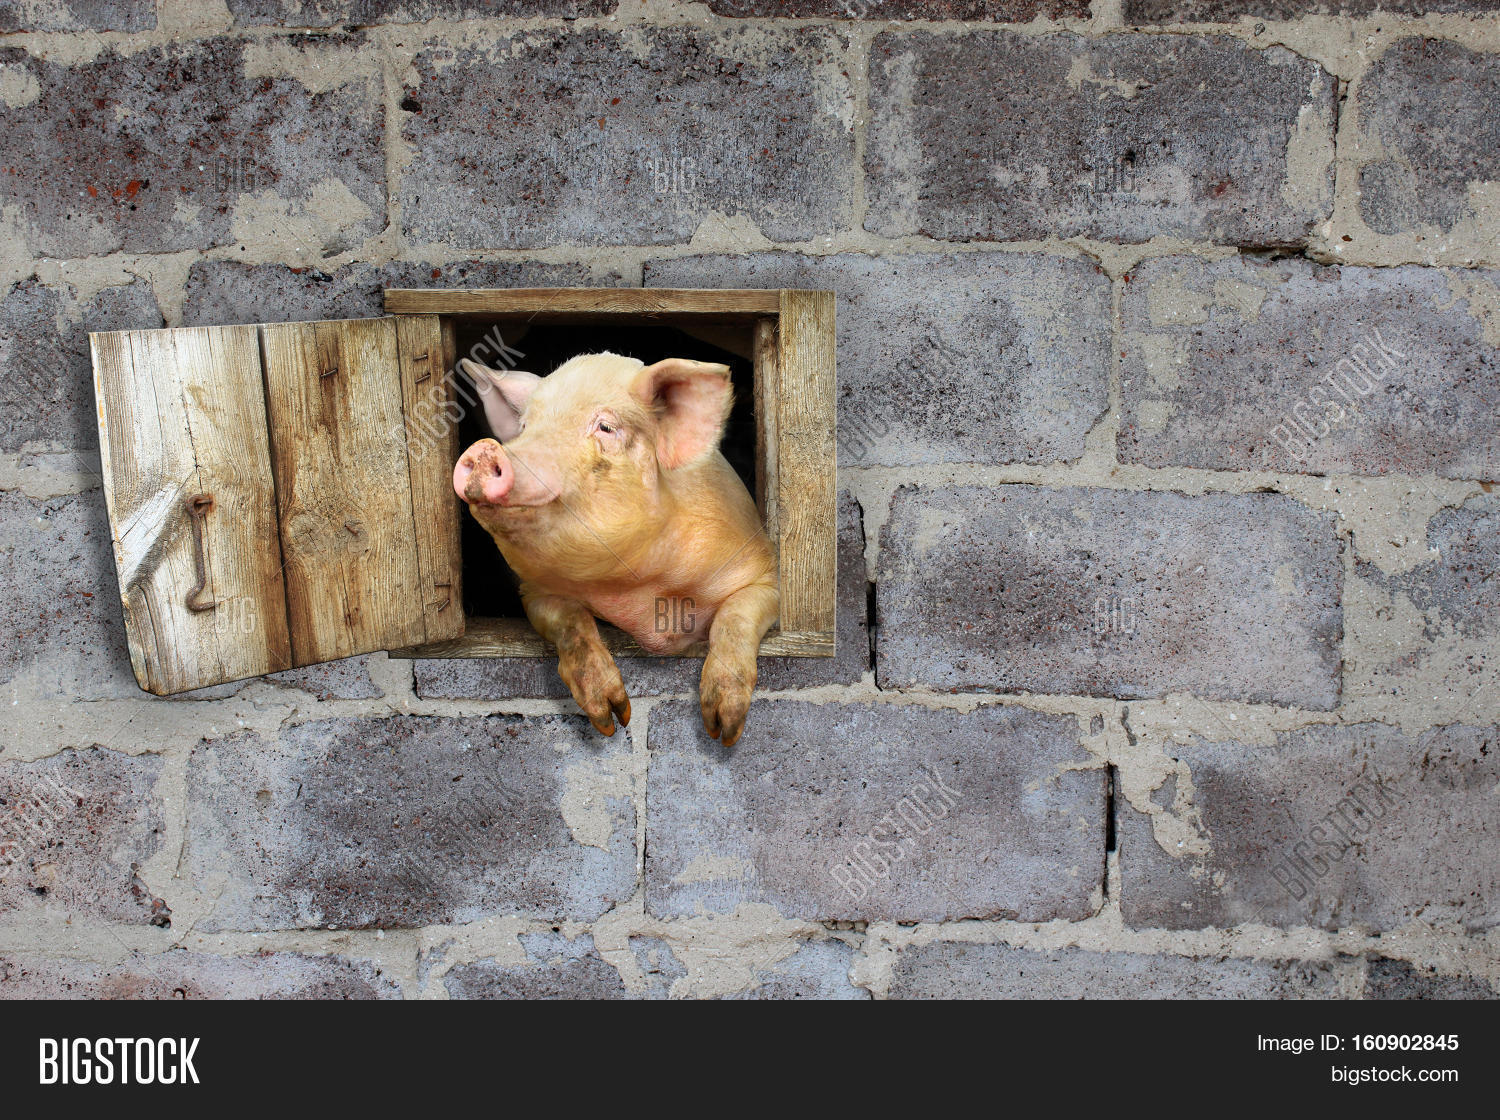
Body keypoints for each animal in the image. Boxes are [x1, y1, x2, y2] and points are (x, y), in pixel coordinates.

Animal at [452, 352, 778, 748]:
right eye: (526, 426)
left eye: (606, 427)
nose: (484, 449)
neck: (638, 585)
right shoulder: (536, 593)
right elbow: (570, 622)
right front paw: (613, 719)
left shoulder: (764, 571)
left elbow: (735, 617)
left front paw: (723, 731)